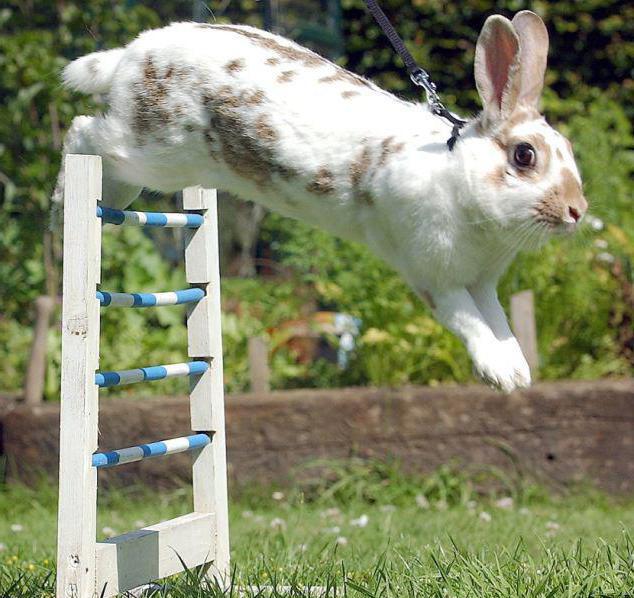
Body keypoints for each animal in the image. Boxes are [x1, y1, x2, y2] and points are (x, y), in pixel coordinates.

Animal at [56, 10, 584, 394]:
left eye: (569, 149)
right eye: (524, 155)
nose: (577, 210)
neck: (459, 176)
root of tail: (129, 56)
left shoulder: (482, 282)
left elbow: (499, 323)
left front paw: (518, 370)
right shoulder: (433, 275)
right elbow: (469, 322)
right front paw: (501, 374)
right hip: (148, 152)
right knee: (83, 132)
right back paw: (65, 195)